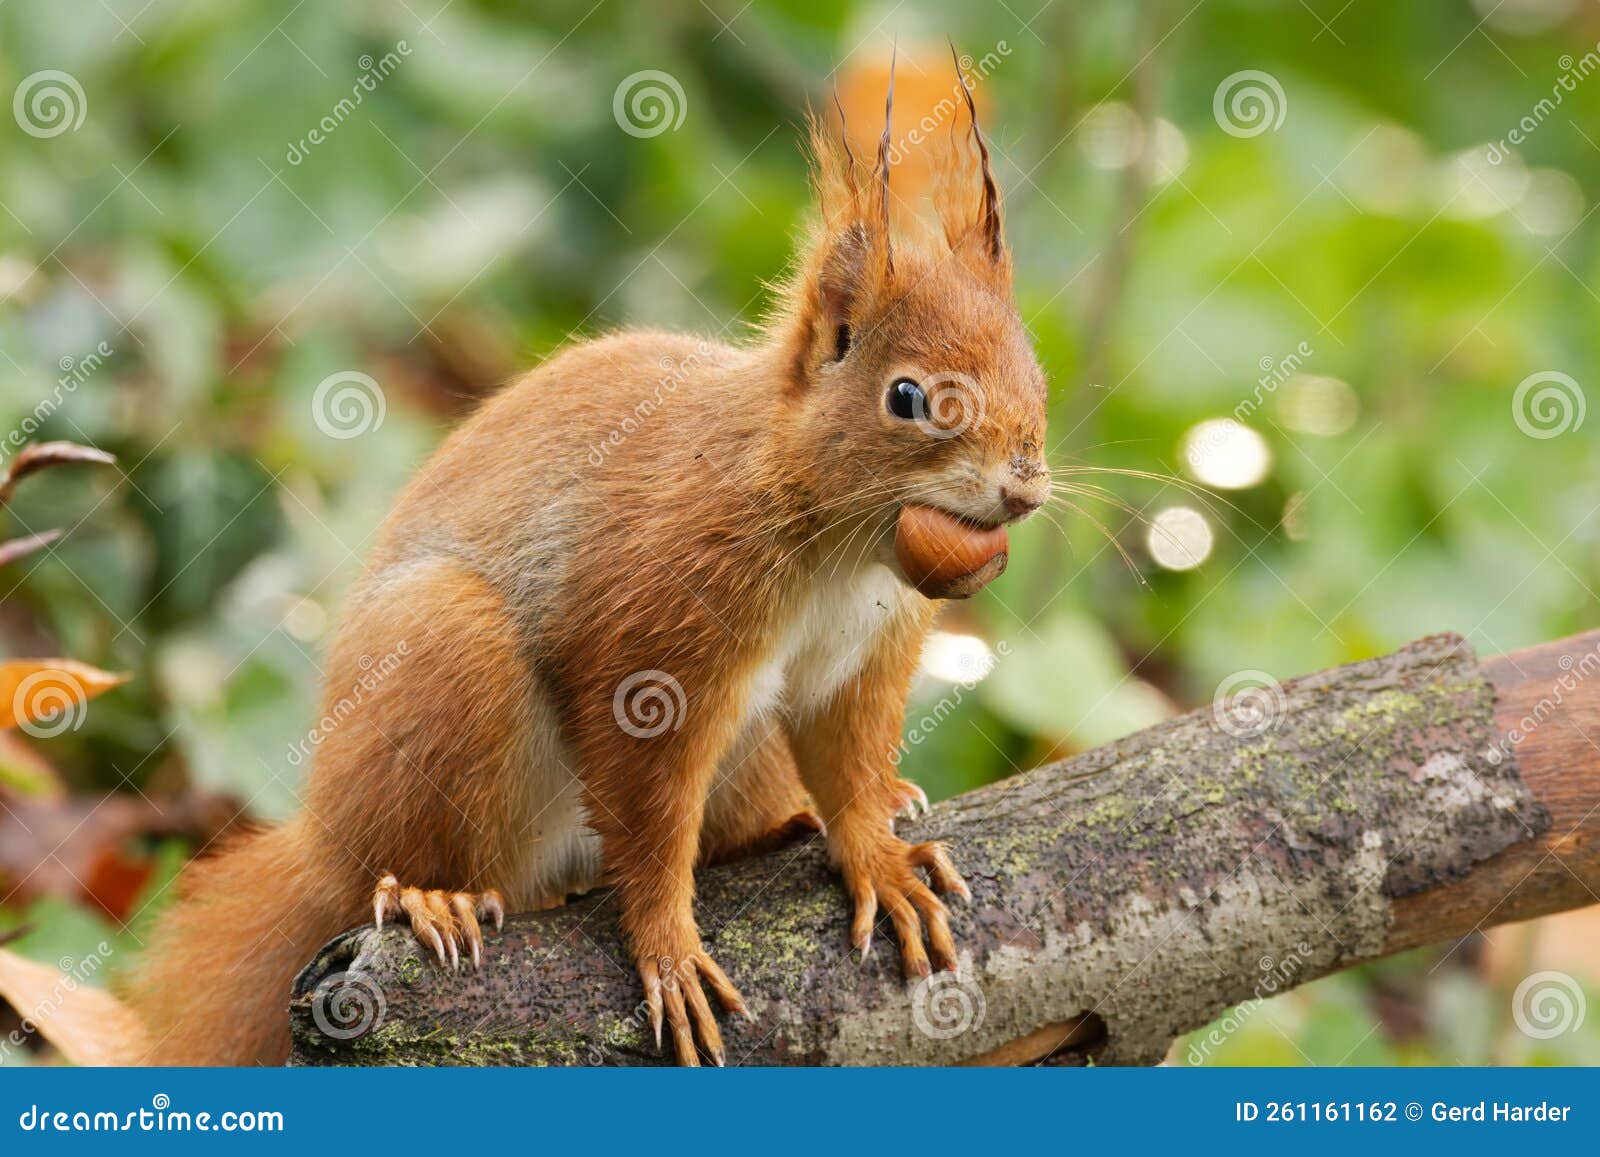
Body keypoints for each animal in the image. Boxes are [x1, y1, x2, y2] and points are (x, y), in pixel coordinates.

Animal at [123, 64, 1050, 1066]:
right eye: (907, 397)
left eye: (1036, 373)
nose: (1024, 485)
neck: (842, 547)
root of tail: (321, 840)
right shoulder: (654, 645)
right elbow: (647, 817)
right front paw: (670, 949)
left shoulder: (862, 658)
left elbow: (851, 764)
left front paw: (878, 853)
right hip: (444, 665)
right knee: (415, 864)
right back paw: (432, 894)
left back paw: (784, 825)